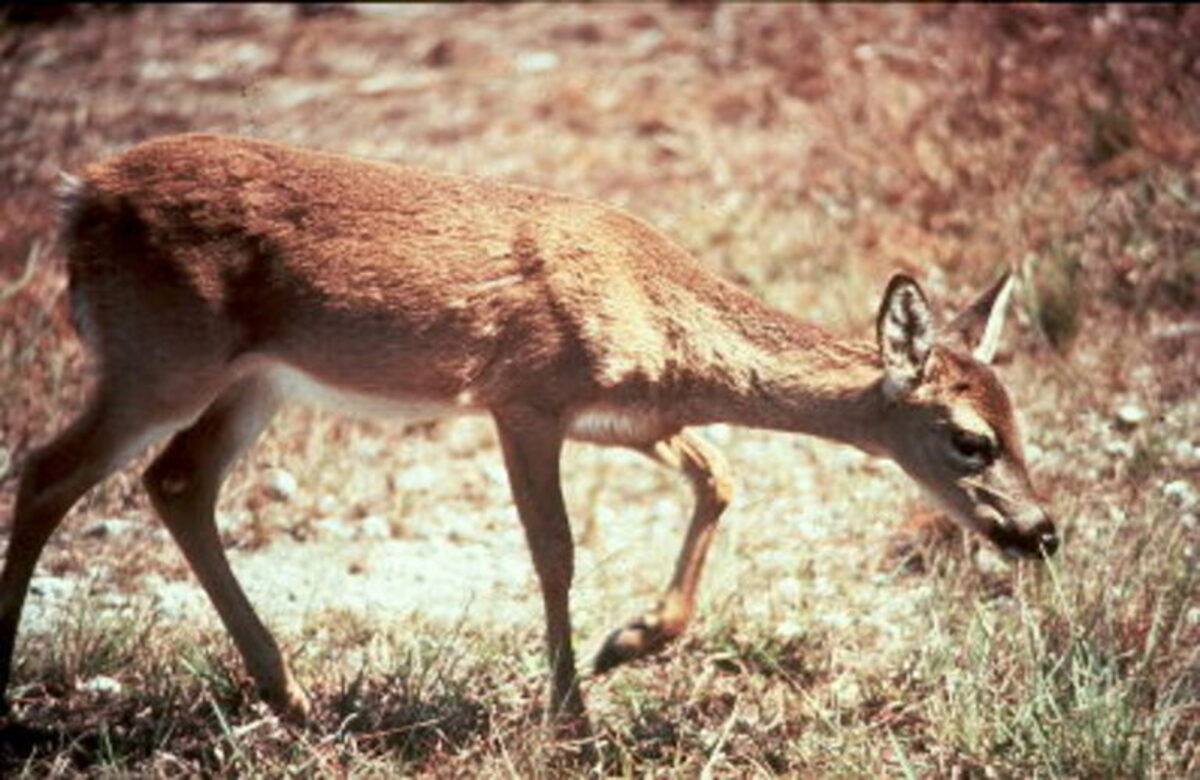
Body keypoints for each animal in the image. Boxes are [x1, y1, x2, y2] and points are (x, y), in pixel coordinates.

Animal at [0, 133, 1057, 735]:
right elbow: (555, 550)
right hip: (159, 357)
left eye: (1023, 422)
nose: (1042, 531)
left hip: (254, 378)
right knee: (48, 469)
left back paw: (291, 696)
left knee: (178, 482)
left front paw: (629, 643)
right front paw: (572, 715)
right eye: (970, 438)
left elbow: (719, 477)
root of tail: (79, 195)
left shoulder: (635, 417)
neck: (657, 310)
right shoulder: (524, 398)